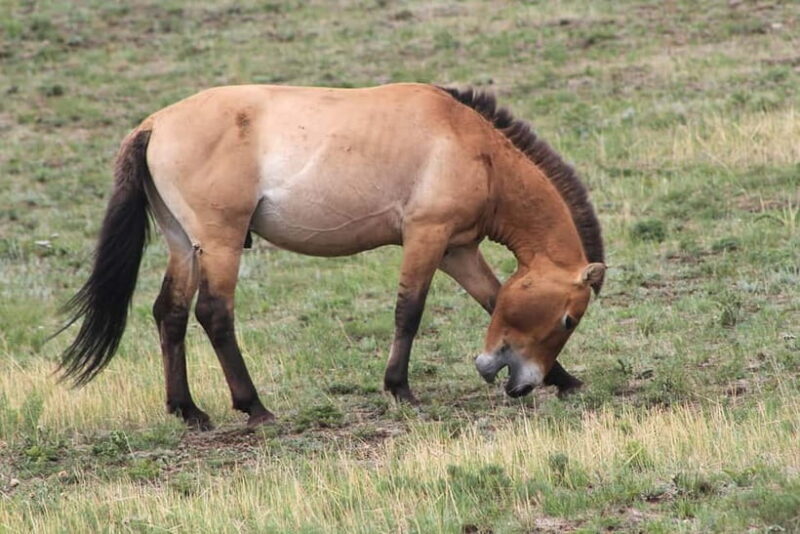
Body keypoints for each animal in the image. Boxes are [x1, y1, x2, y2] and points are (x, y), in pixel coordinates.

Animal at [57, 83, 605, 429]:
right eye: (569, 319)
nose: (516, 383)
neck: (471, 146)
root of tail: (154, 124)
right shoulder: (426, 238)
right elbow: (409, 312)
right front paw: (400, 390)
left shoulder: (457, 249)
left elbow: (492, 300)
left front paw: (567, 380)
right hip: (220, 243)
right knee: (214, 315)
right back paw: (254, 407)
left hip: (183, 245)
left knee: (169, 314)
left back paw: (188, 411)